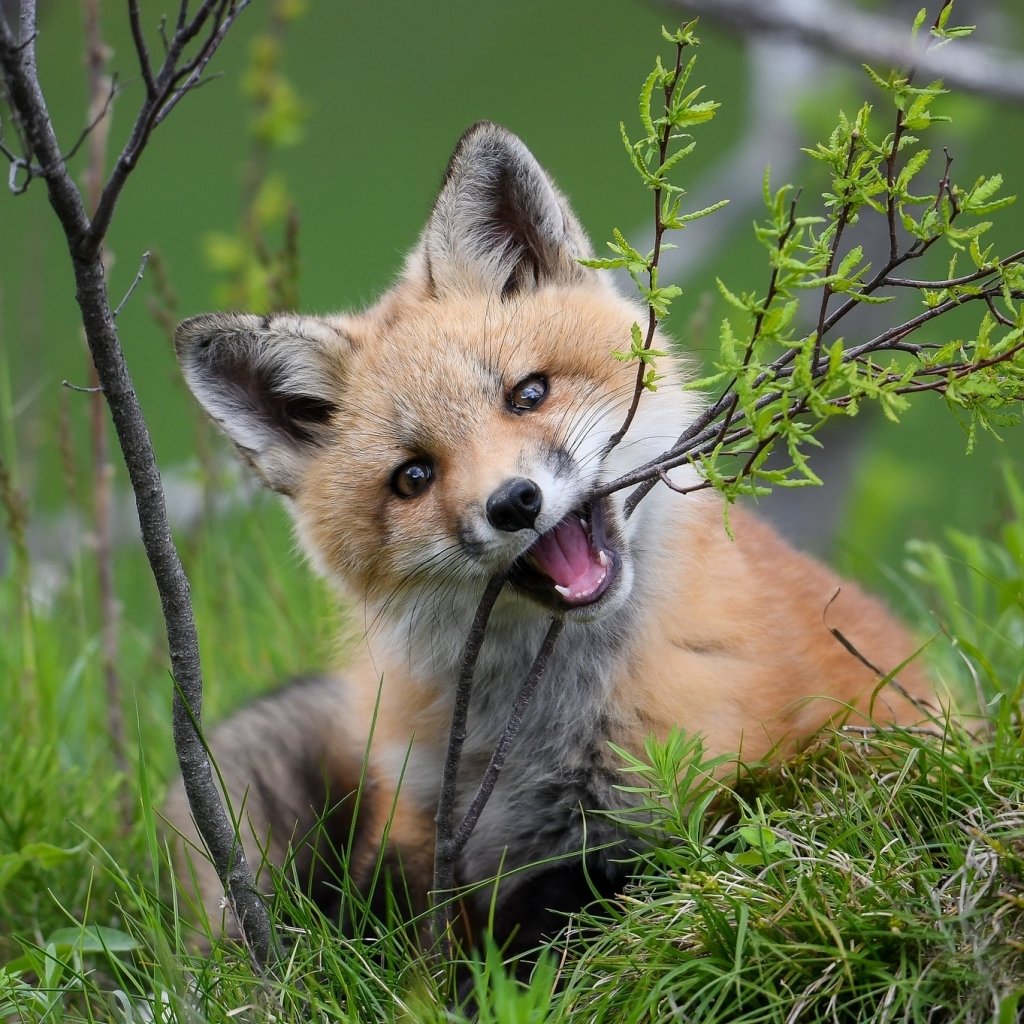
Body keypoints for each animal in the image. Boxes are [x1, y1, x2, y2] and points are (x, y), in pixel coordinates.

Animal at [164, 121, 937, 960]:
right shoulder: (418, 824)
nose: (515, 502)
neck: (540, 732)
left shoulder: (678, 820)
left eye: (527, 394)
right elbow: (389, 936)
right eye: (413, 476)